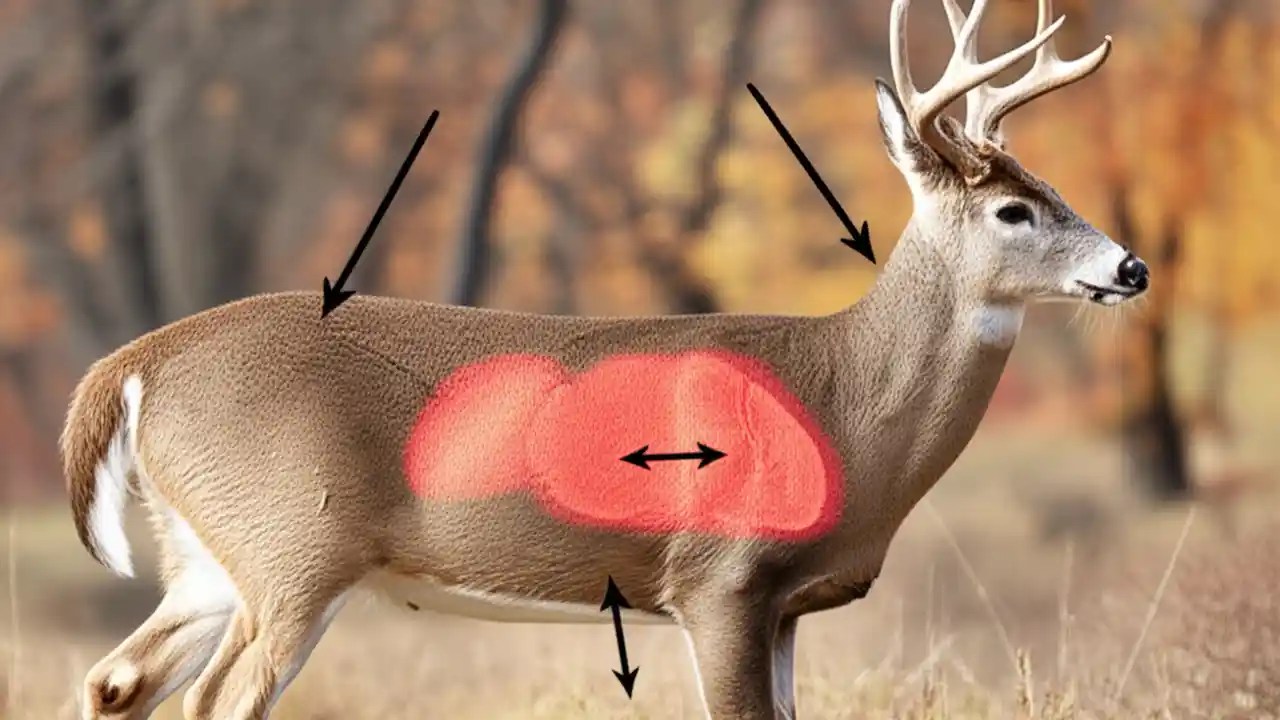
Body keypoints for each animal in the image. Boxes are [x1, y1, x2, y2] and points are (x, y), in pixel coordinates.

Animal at [62, 0, 1143, 718]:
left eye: (1051, 186)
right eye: (1014, 210)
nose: (1129, 267)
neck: (839, 400)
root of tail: (134, 361)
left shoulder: (783, 606)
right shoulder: (718, 576)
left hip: (212, 556)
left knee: (116, 683)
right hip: (291, 548)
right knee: (213, 701)